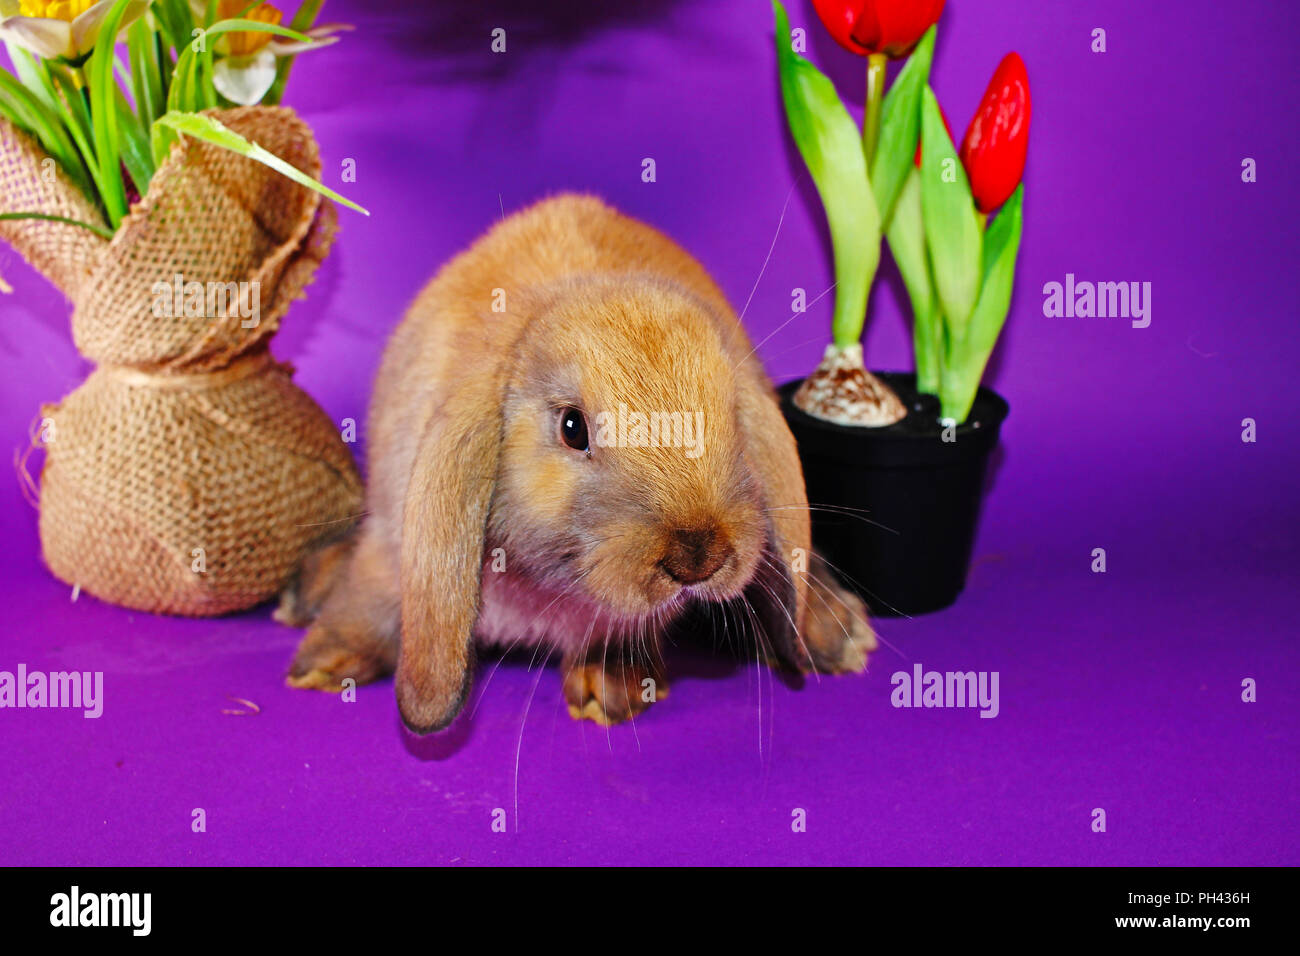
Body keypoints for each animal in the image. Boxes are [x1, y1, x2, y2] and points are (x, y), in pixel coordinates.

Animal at [280, 194, 877, 733]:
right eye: (573, 428)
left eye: (733, 417)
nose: (697, 556)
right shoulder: (392, 543)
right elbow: (373, 599)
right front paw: (324, 665)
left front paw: (608, 688)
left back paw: (840, 632)